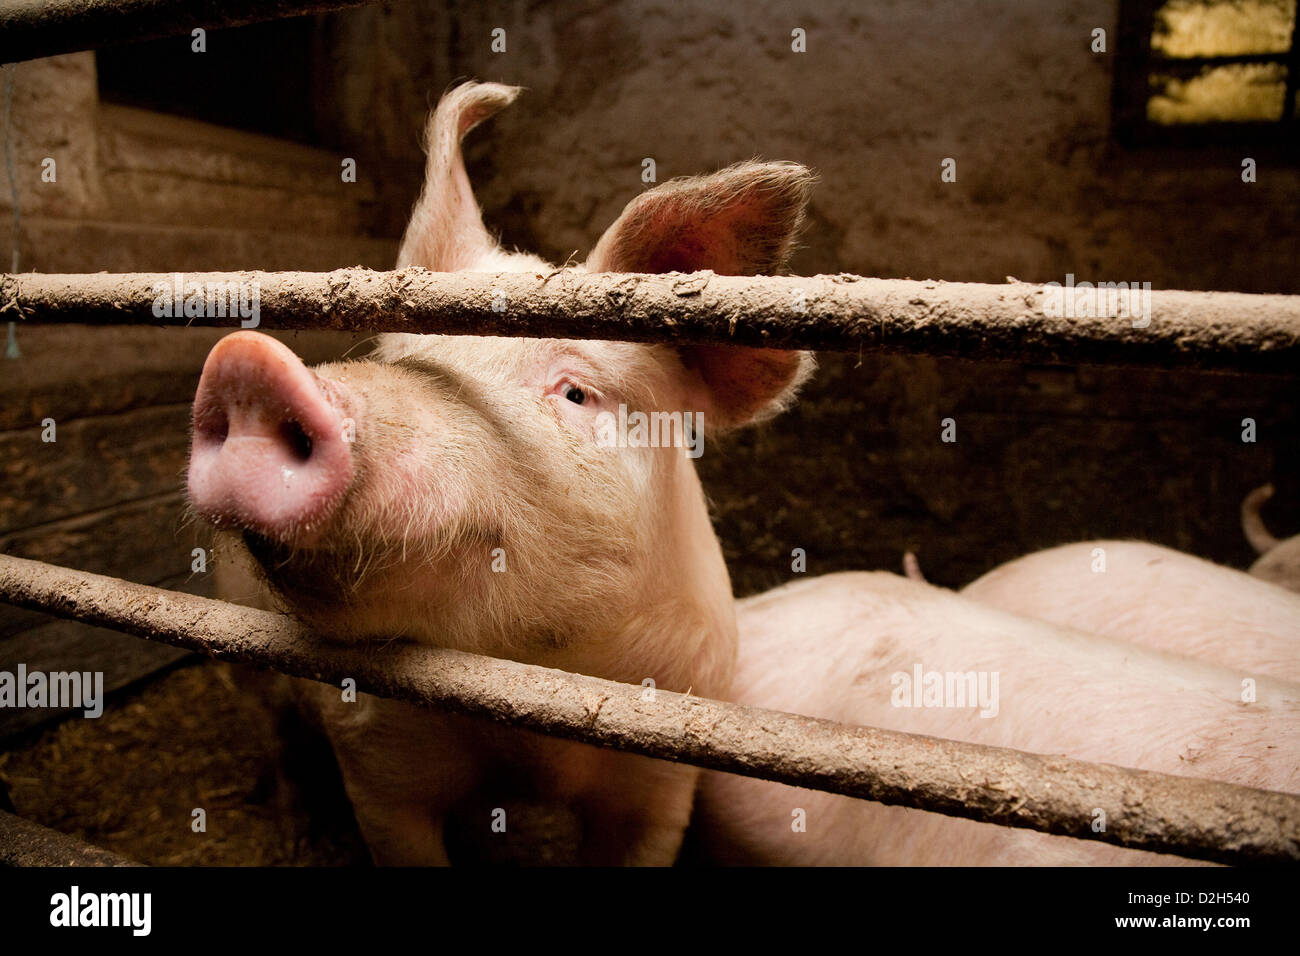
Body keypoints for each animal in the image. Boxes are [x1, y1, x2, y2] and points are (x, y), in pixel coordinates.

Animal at [188, 81, 817, 865]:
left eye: (575, 392)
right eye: (402, 357)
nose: (248, 363)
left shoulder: (666, 774)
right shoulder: (377, 765)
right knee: (277, 739)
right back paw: (294, 831)